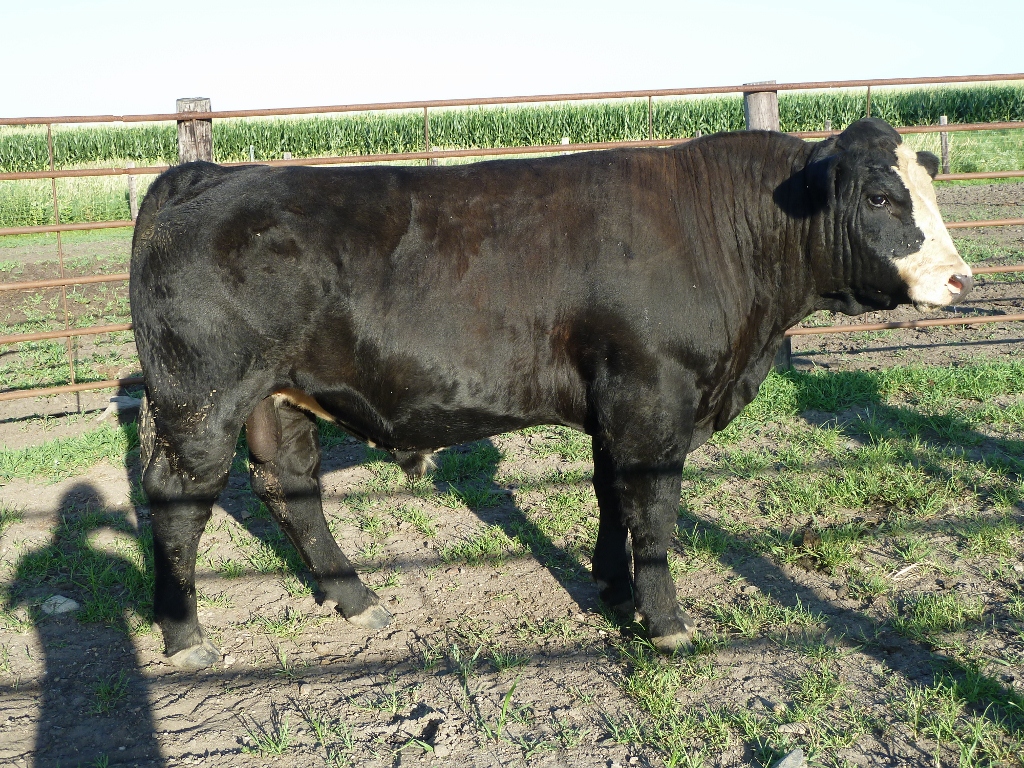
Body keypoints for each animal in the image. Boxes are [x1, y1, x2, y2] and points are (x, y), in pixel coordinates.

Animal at [130, 117, 972, 669]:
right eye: (880, 198)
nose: (962, 278)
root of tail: (211, 174)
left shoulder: (617, 404)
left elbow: (611, 497)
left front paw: (614, 588)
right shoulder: (652, 396)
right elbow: (653, 510)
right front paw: (666, 621)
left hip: (276, 397)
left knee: (290, 488)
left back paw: (356, 598)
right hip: (201, 400)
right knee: (178, 498)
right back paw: (185, 636)